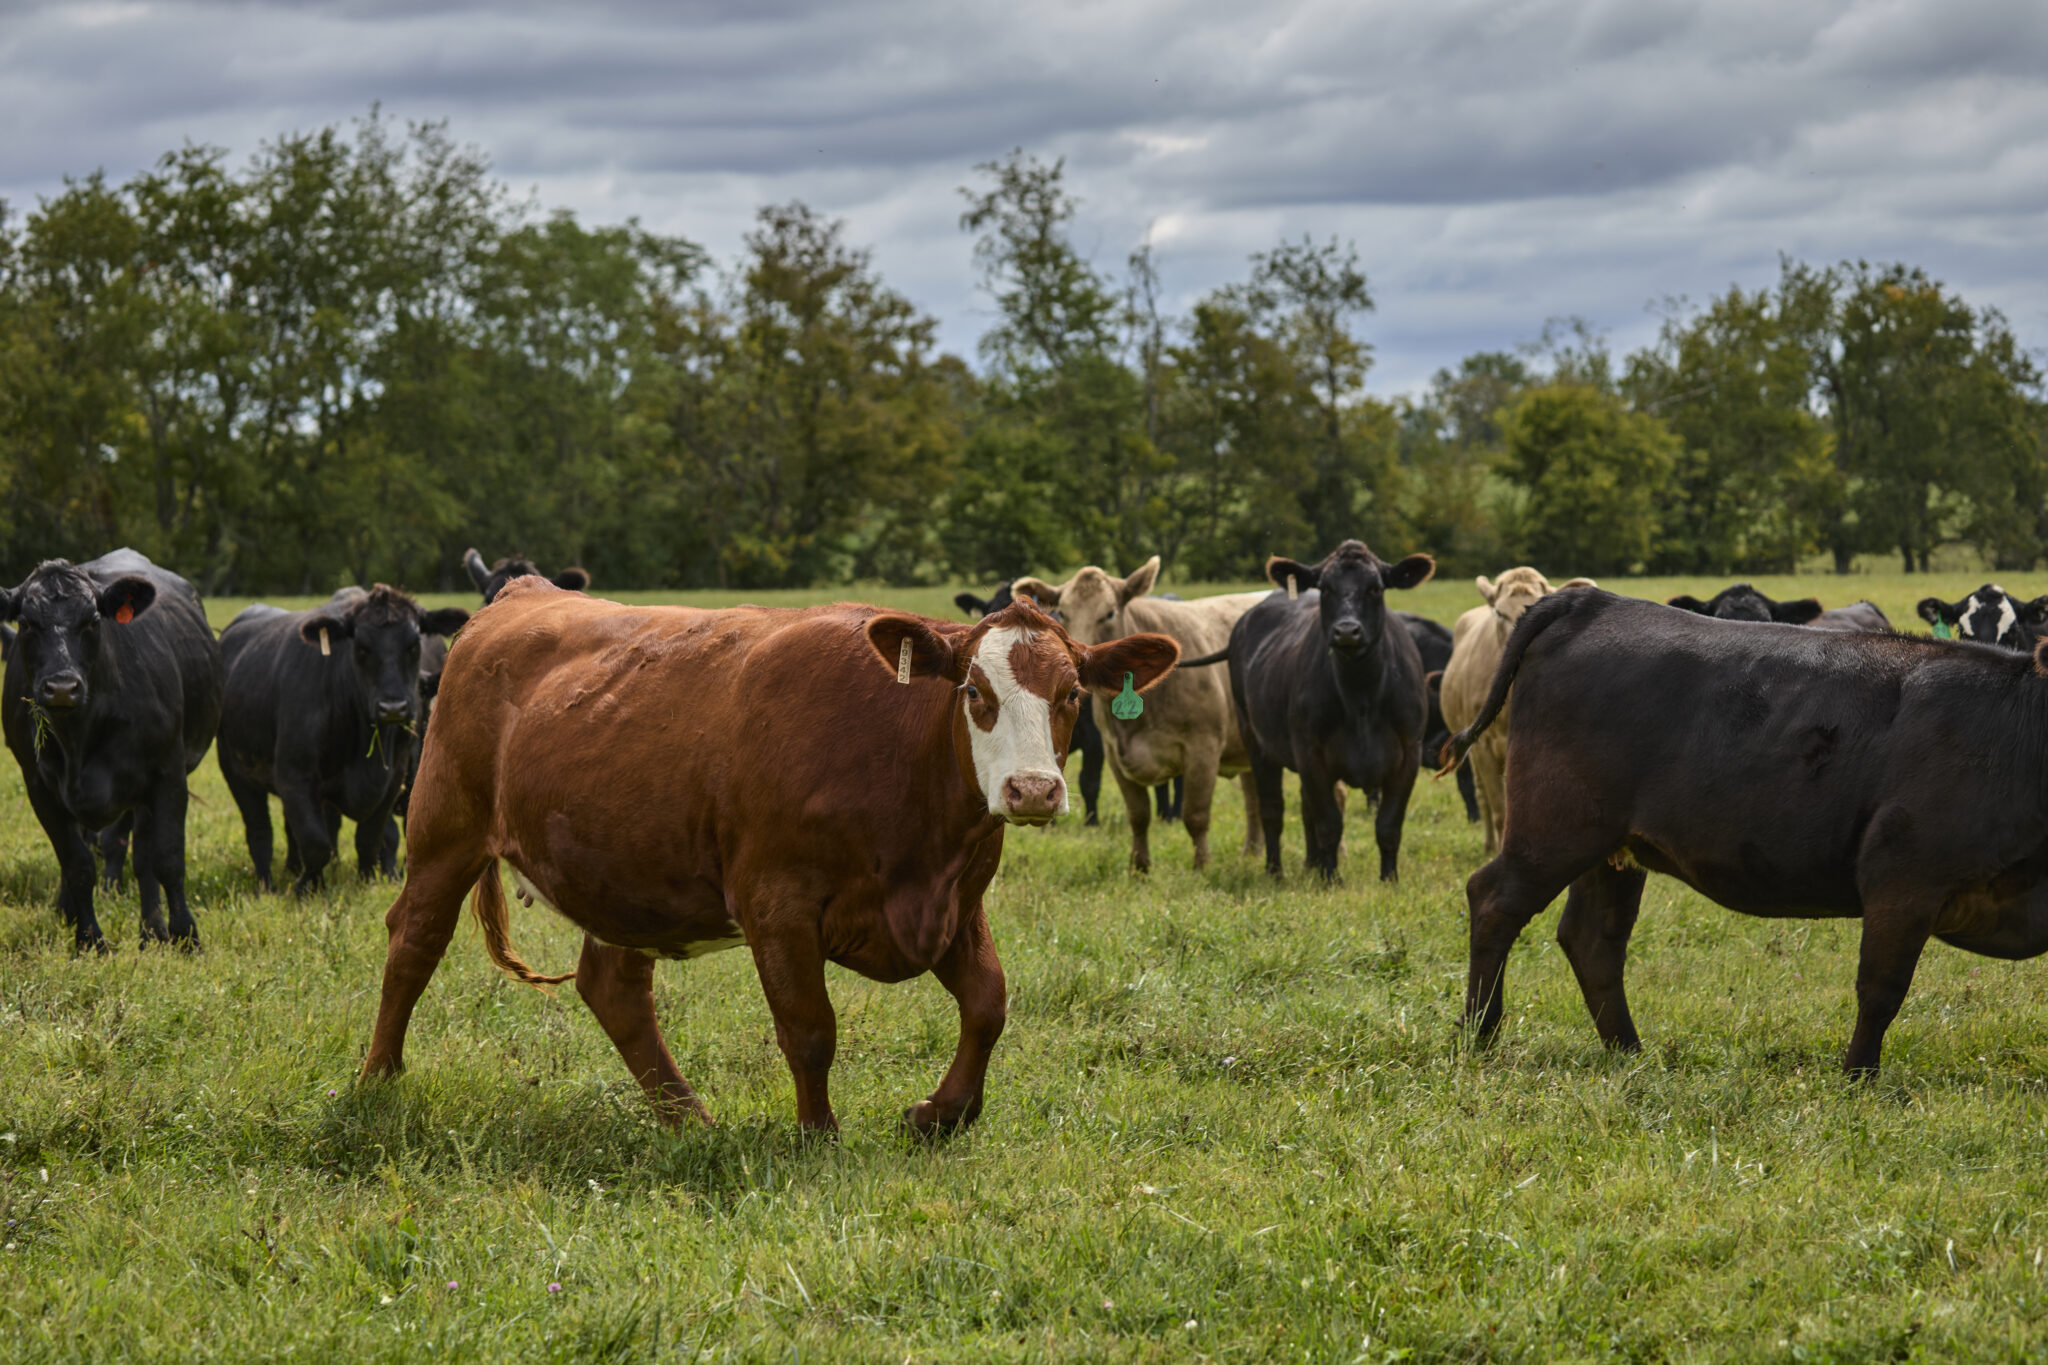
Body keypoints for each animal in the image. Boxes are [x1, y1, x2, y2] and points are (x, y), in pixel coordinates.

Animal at [0, 550, 223, 951]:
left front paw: (186, 936)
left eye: (92, 621)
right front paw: (89, 940)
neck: (78, 736)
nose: (61, 687)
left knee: (144, 856)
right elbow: (77, 864)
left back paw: (153, 930)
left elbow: (168, 859)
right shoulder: (38, 785)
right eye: (25, 623)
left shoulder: (168, 774)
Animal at [218, 586, 469, 894]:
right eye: (360, 647)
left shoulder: (391, 782)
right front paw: (307, 887)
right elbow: (316, 843)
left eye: (413, 645)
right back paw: (267, 885)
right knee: (260, 830)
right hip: (236, 770)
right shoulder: (295, 776)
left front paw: (369, 880)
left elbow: (370, 838)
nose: (392, 707)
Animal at [1011, 558, 1265, 870]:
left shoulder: (1203, 748)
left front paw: (1201, 866)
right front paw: (1139, 868)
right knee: (1253, 798)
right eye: (1063, 614)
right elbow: (1138, 815)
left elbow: (1195, 815)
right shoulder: (1113, 752)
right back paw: (1251, 852)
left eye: (1109, 613)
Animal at [1220, 541, 1434, 881]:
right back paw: (1276, 871)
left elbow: (1388, 825)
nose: (1346, 631)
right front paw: (1332, 879)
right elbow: (1329, 822)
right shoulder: (1311, 754)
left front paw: (1389, 879)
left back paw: (1312, 864)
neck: (1361, 696)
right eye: (1325, 588)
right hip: (1256, 741)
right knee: (1272, 810)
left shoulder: (1408, 754)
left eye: (1375, 588)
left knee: (1305, 806)